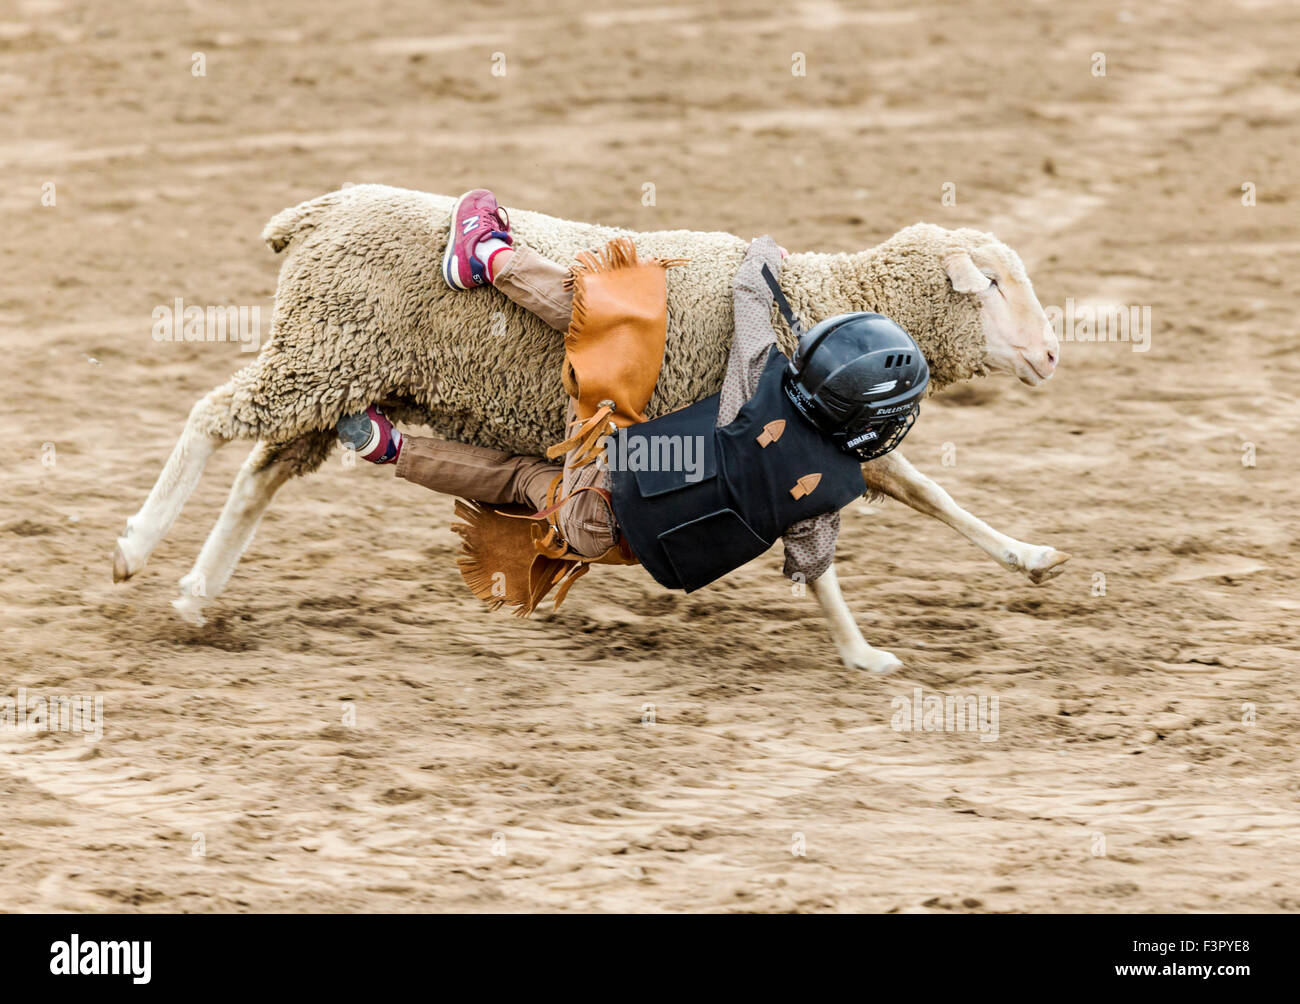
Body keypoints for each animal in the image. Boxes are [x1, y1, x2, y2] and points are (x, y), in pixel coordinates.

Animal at [112, 183, 1068, 672]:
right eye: (990, 286)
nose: (1052, 356)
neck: (820, 305)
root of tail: (314, 214)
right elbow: (831, 544)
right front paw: (865, 654)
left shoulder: (835, 444)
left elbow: (931, 494)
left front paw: (1029, 558)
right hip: (320, 348)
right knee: (210, 420)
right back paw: (134, 547)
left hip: (342, 366)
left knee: (265, 468)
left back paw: (196, 592)